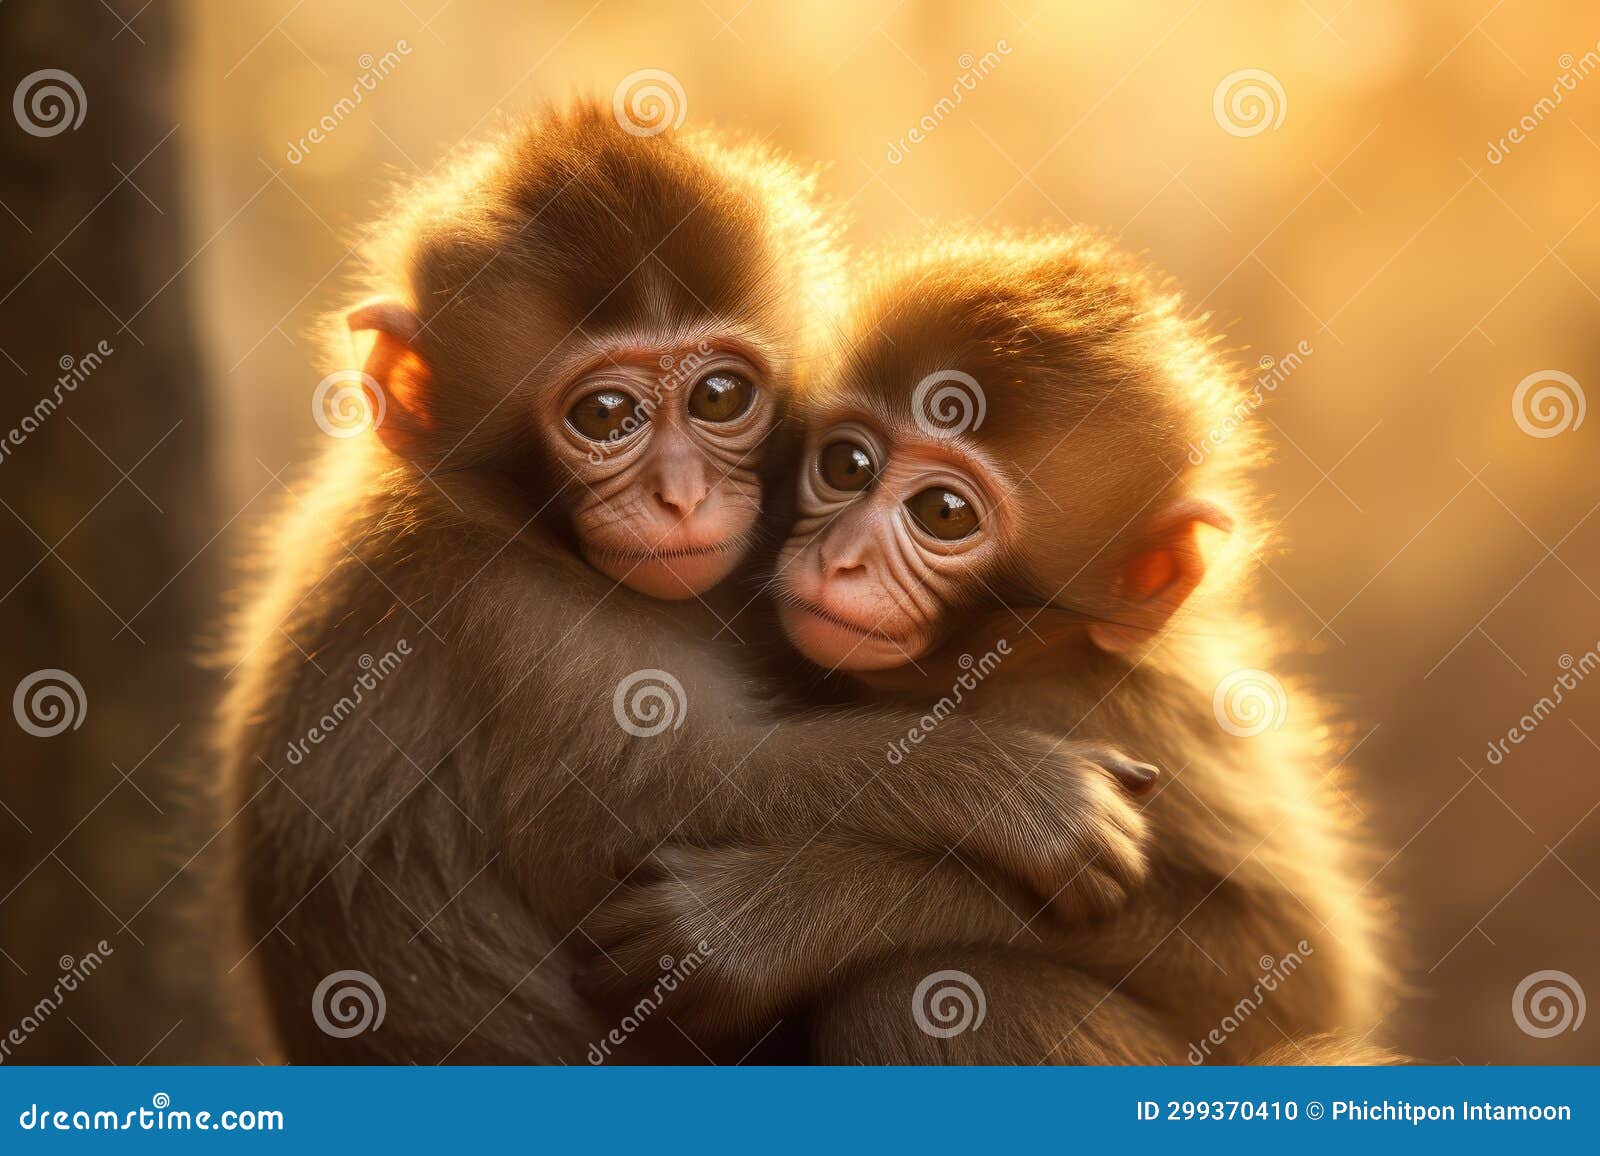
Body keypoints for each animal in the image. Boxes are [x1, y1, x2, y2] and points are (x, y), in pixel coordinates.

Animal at [220, 106, 1163, 1065]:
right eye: (603, 416)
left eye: (717, 396)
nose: (681, 495)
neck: (512, 515)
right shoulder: (507, 613)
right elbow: (656, 806)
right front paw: (1014, 790)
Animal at [585, 230, 1395, 1065]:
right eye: (847, 466)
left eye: (944, 513)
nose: (841, 559)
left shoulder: (1125, 710)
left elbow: (1283, 965)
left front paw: (760, 918)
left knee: (923, 991)